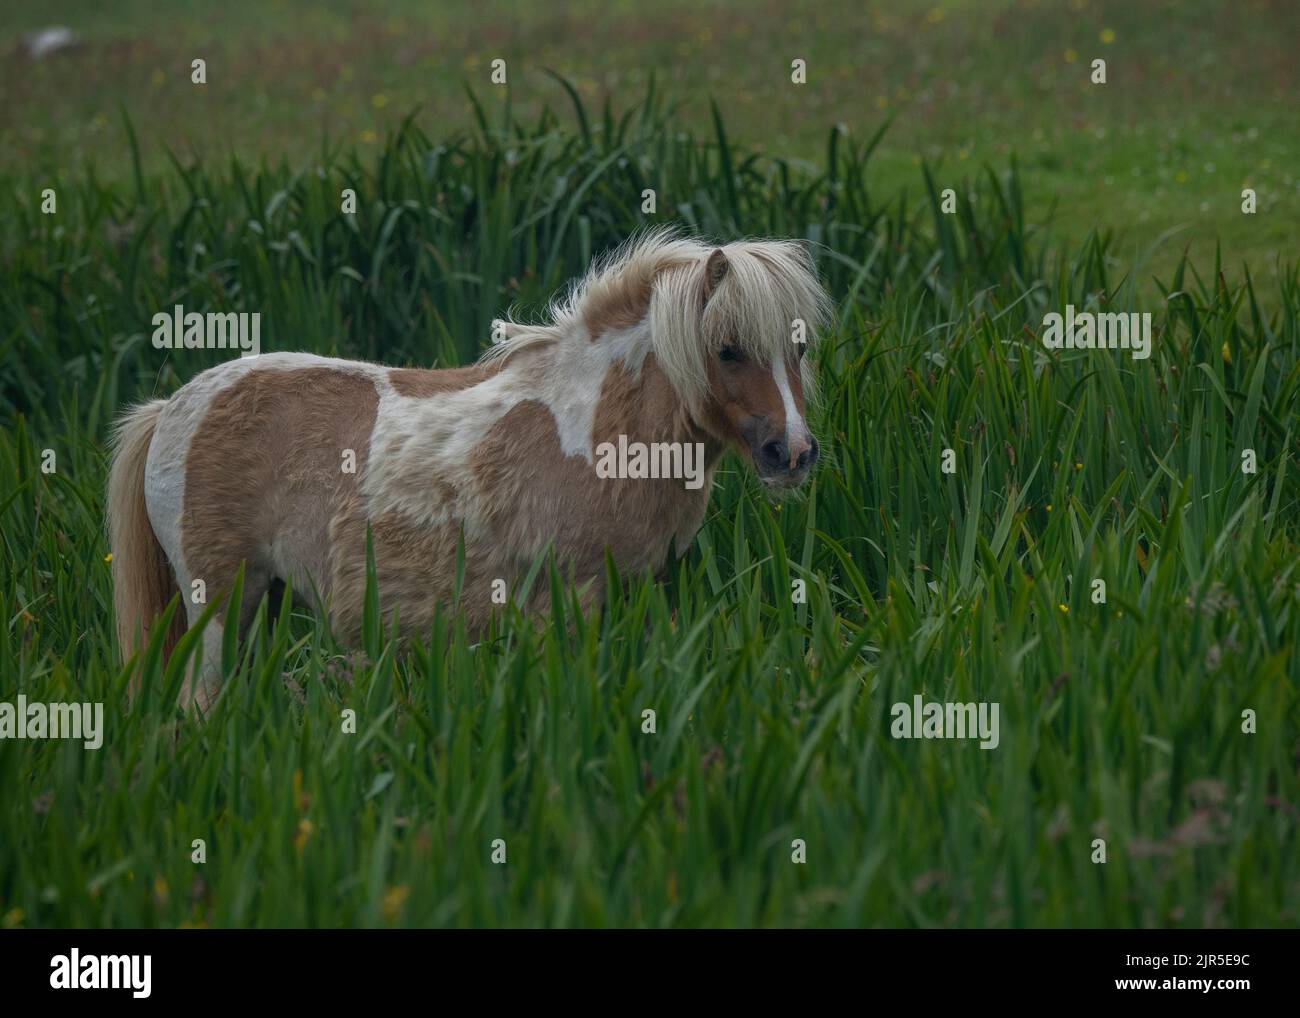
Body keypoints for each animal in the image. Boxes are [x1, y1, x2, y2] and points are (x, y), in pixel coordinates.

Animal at [107, 229, 832, 710]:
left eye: (798, 346)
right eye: (728, 349)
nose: (792, 453)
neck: (596, 427)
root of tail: (174, 407)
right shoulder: (562, 606)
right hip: (218, 606)